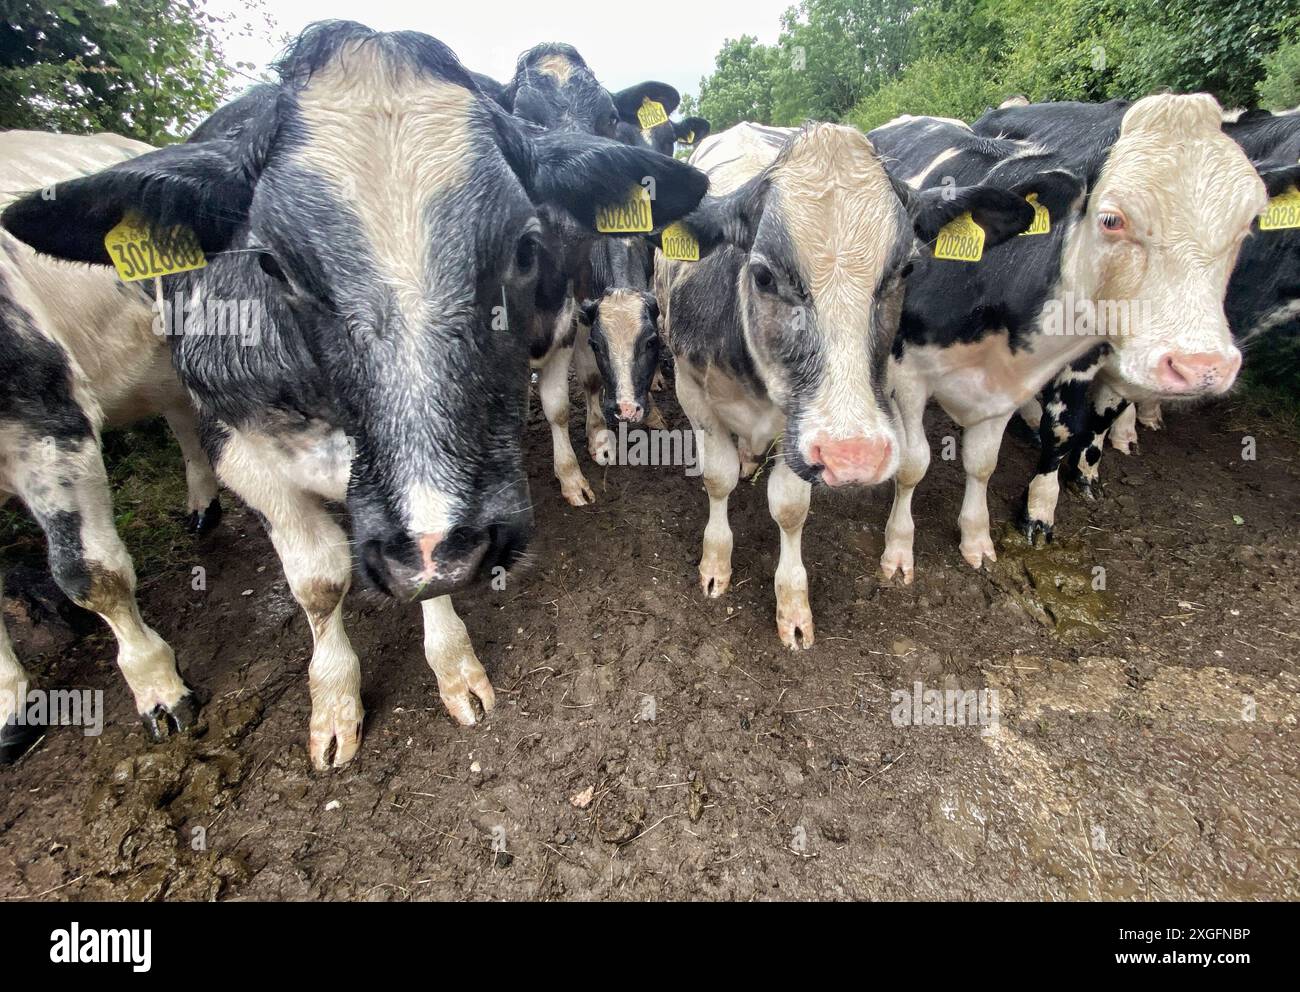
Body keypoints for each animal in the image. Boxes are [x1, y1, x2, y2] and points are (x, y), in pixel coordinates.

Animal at [656, 122, 1034, 648]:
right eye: (763, 275)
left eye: (906, 269)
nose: (854, 455)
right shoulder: (691, 387)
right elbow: (718, 477)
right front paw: (715, 563)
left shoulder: (797, 427)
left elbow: (790, 507)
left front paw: (793, 606)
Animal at [868, 95, 1267, 577]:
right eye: (1111, 219)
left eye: (1249, 222)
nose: (1203, 367)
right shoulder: (909, 375)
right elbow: (914, 464)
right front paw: (898, 549)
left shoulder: (1013, 384)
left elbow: (985, 462)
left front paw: (978, 537)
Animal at [972, 101, 1300, 528]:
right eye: (1112, 220)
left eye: (1247, 225)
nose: (1204, 366)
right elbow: (1063, 426)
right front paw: (1039, 509)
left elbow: (1104, 413)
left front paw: (1087, 471)